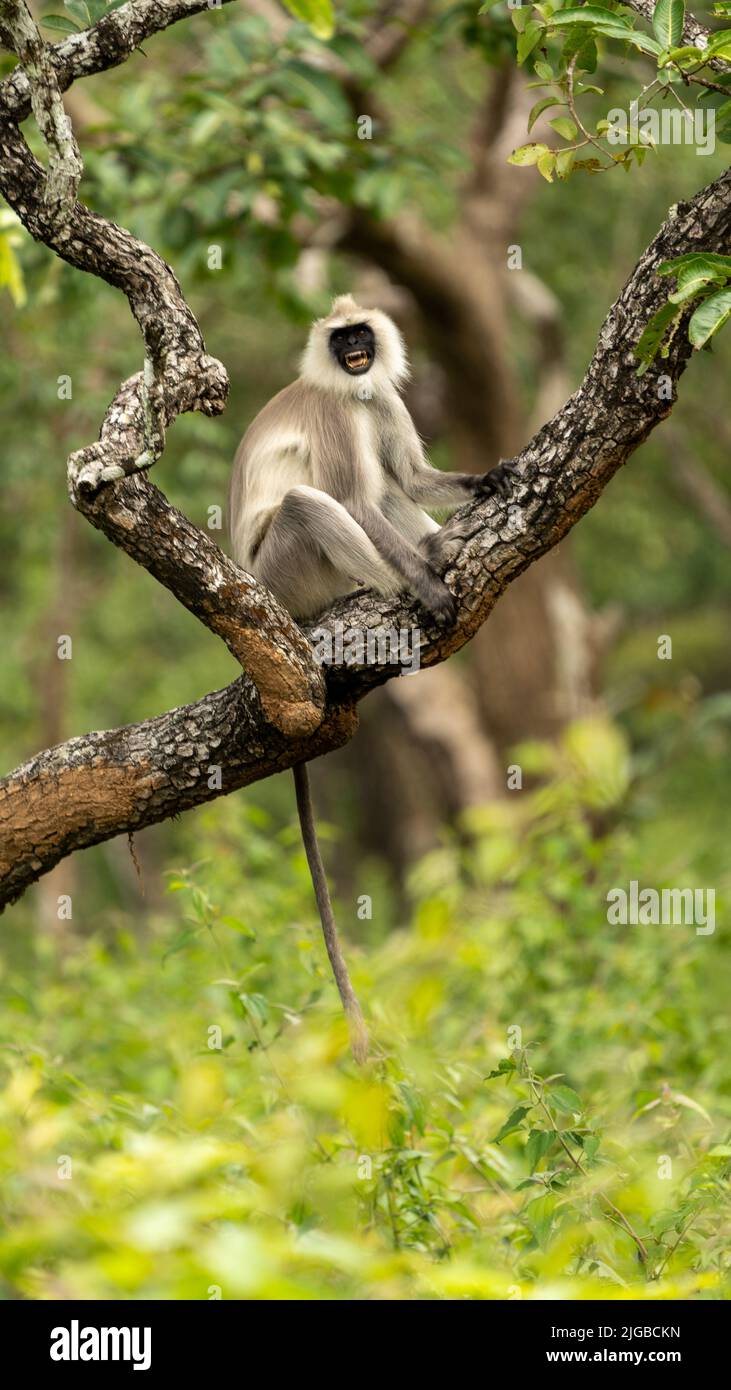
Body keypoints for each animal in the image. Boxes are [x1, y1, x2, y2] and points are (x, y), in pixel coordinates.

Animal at [228, 295, 517, 1062]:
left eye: (361, 336)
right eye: (341, 341)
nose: (355, 351)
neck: (349, 388)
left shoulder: (375, 396)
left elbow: (407, 479)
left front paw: (483, 483)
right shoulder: (338, 410)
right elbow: (354, 501)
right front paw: (431, 585)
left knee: (383, 488)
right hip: (287, 574)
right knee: (315, 502)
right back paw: (421, 568)